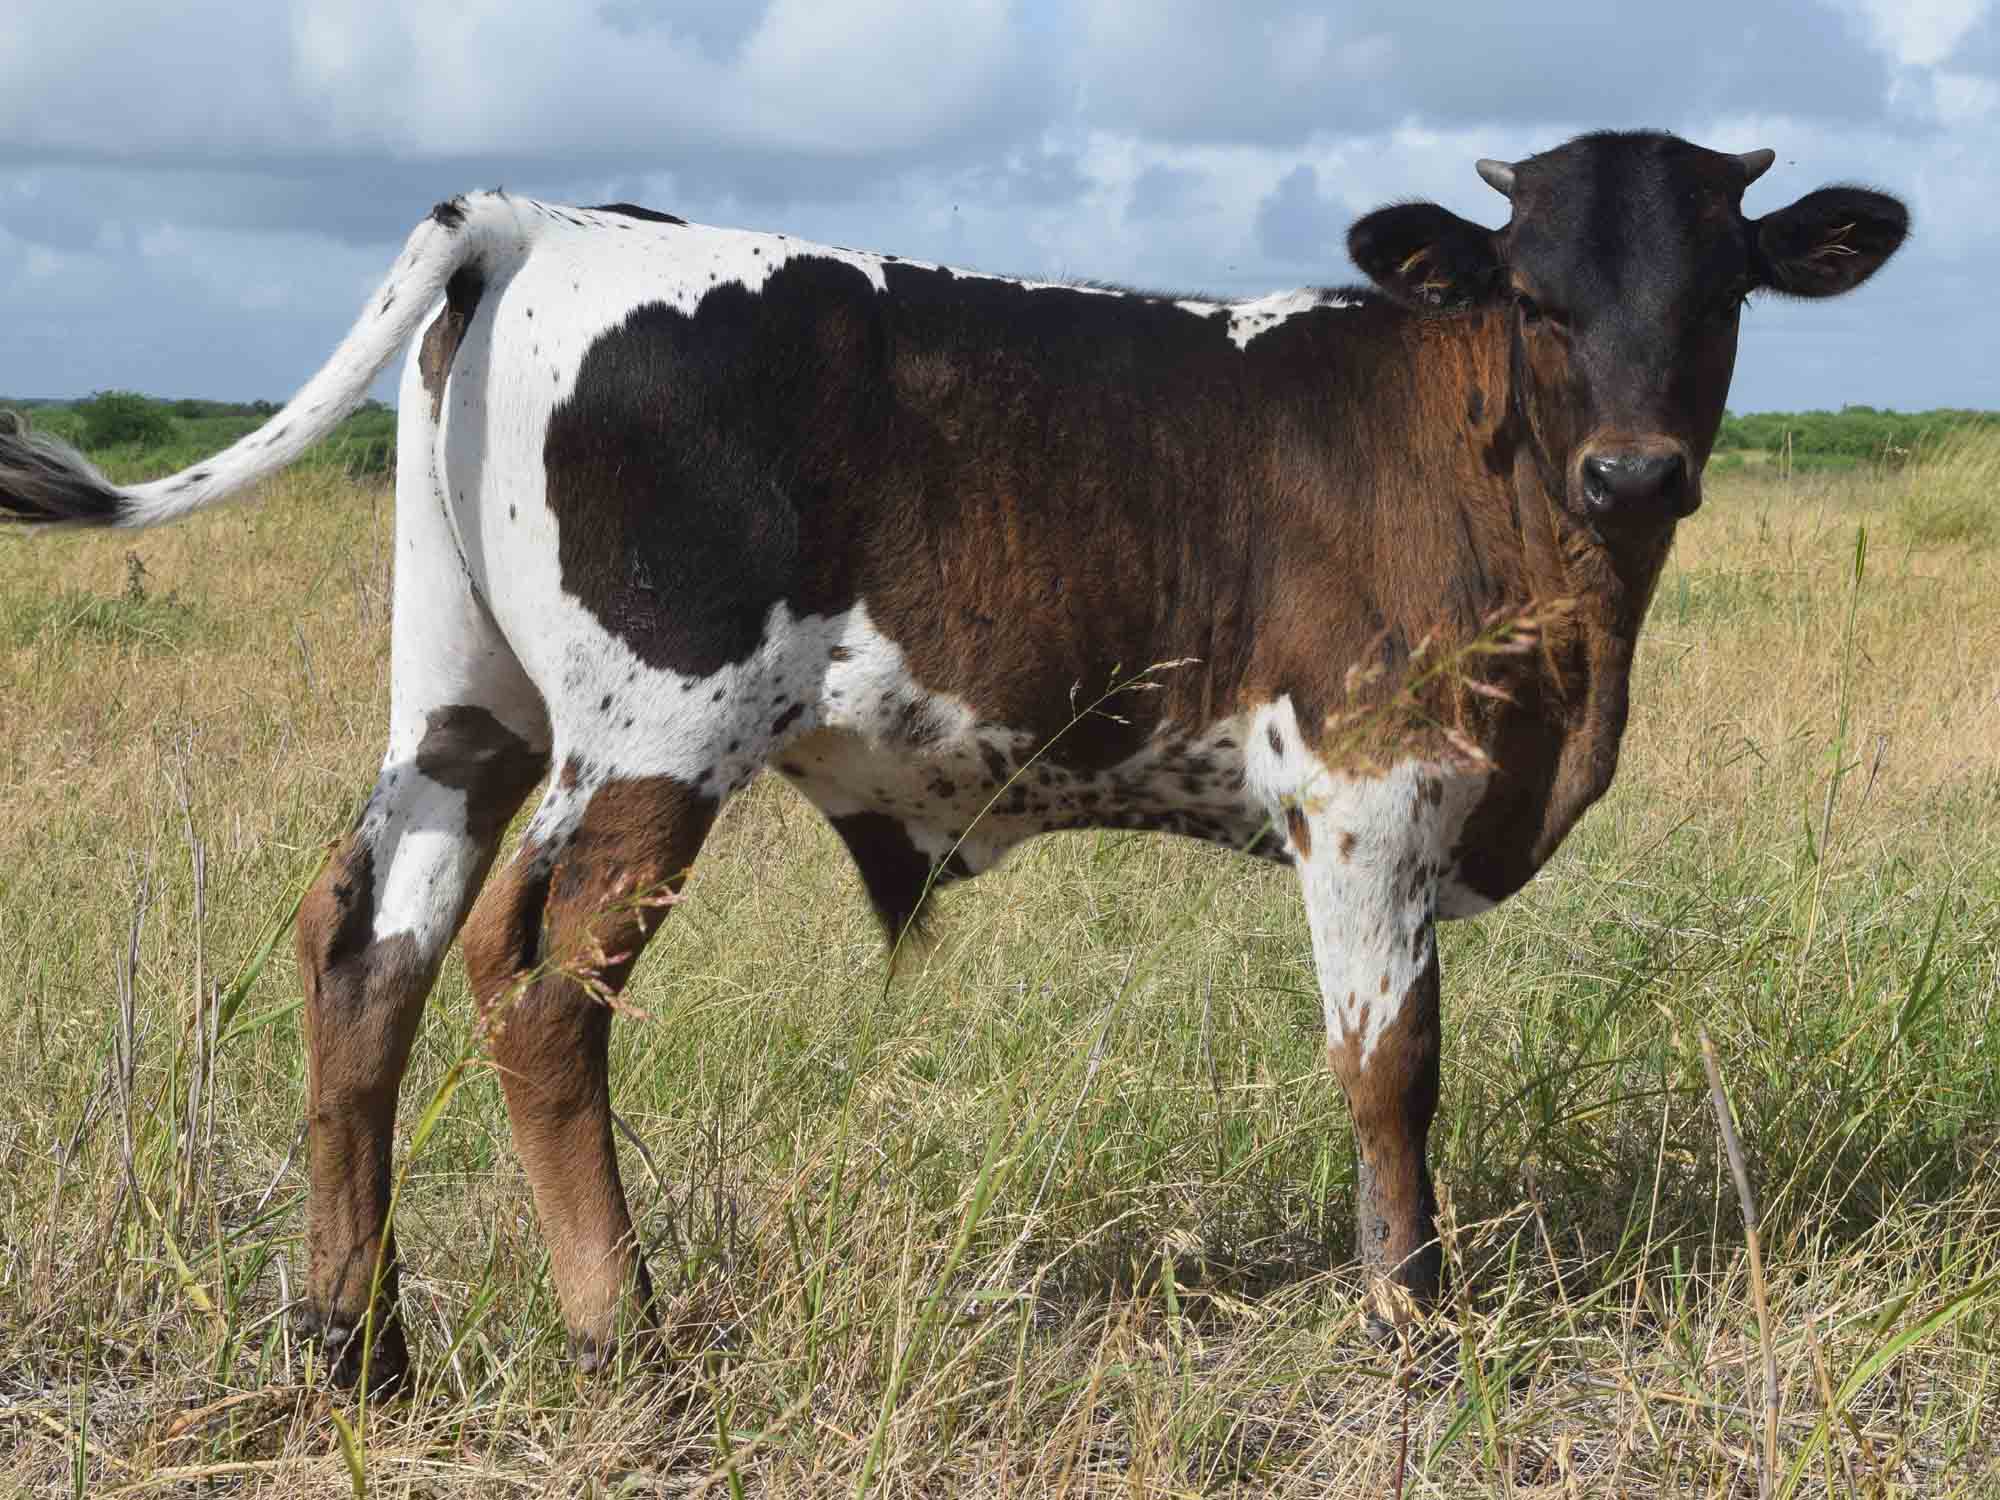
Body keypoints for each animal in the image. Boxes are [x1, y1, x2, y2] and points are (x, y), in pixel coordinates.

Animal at [0, 130, 1905, 1390]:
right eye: (1537, 294)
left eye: (1723, 290)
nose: (1637, 473)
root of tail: (550, 221)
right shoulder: (1365, 789)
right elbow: (1395, 1068)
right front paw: (1411, 1321)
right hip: (654, 738)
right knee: (536, 985)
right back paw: (624, 1333)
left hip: (465, 715)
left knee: (367, 952)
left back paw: (357, 1344)